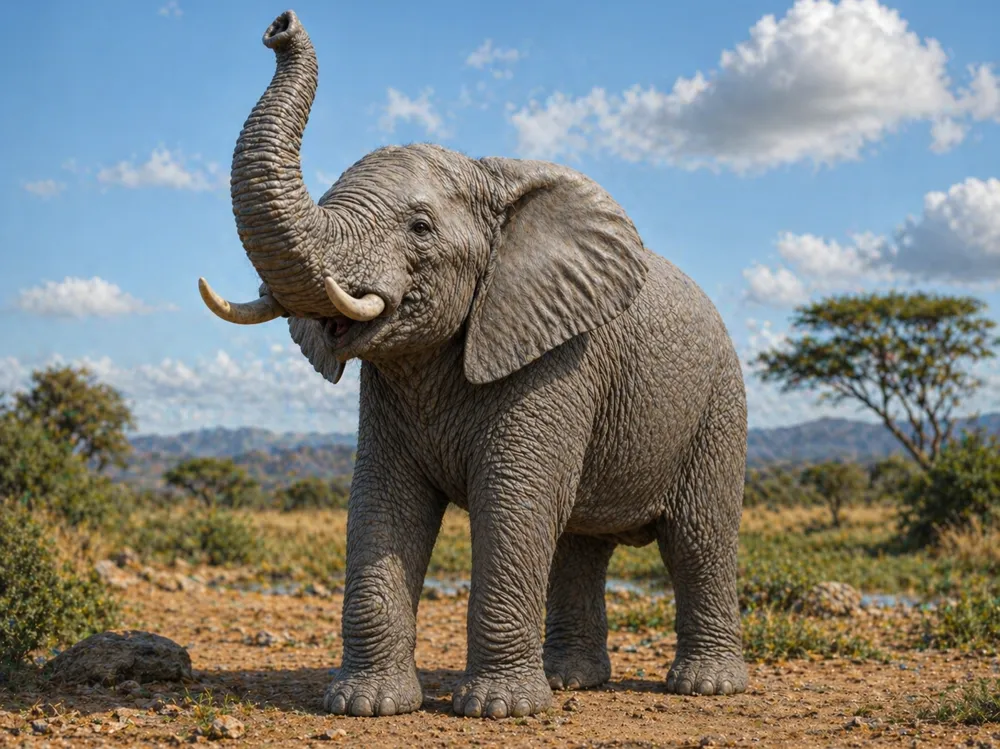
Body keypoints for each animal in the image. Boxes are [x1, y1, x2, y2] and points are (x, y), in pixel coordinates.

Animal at [199, 10, 749, 719]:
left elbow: (514, 503)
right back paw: (571, 681)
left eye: (421, 227)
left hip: (718, 403)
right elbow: (382, 502)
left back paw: (705, 687)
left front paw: (499, 711)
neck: (496, 179)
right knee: (580, 543)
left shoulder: (558, 359)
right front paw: (366, 706)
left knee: (698, 537)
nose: (279, 26)